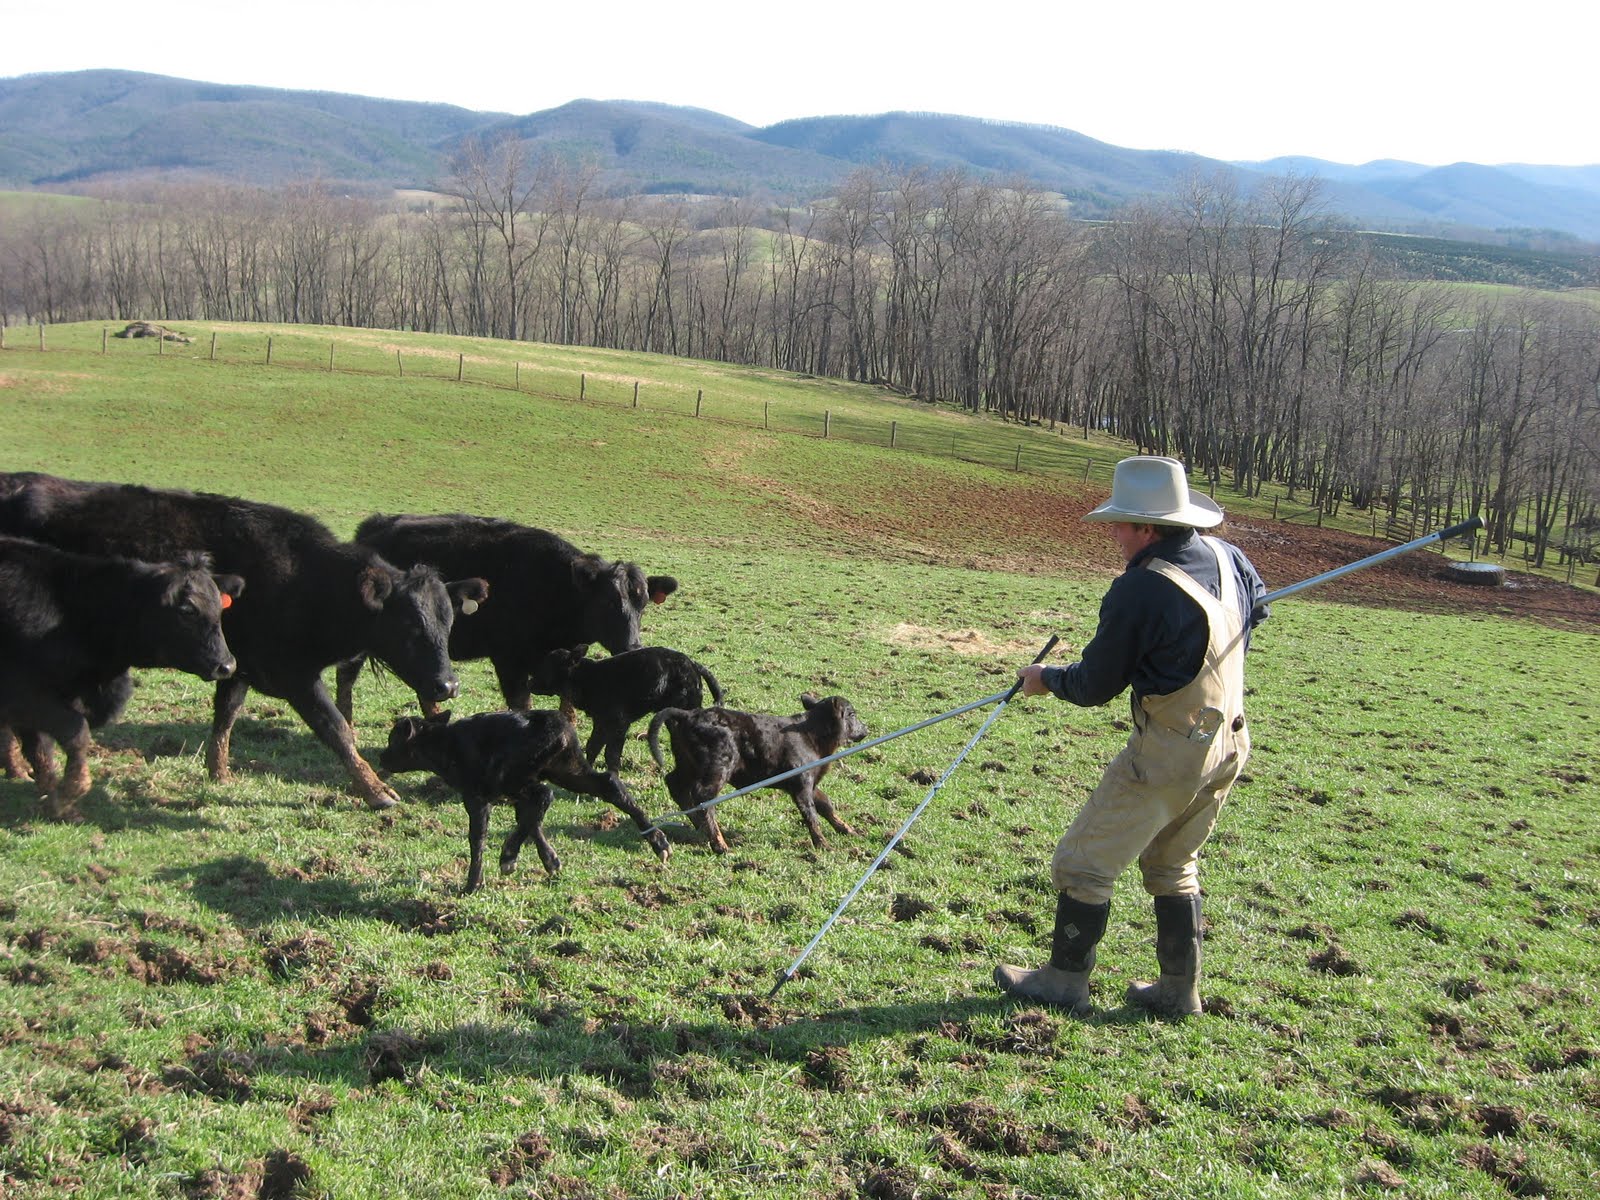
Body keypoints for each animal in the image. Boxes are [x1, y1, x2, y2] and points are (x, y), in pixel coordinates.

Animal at [0, 534, 242, 818]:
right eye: (187, 610)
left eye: (219, 608)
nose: (227, 665)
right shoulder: (24, 695)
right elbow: (73, 732)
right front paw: (67, 794)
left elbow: (41, 750)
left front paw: (53, 800)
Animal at [336, 513, 678, 720]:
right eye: (608, 601)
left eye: (643, 603)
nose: (633, 647)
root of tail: (373, 526)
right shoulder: (508, 660)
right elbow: (521, 705)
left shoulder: (571, 660)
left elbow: (567, 706)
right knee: (346, 679)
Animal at [377, 710, 672, 891]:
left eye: (393, 741)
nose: (382, 758)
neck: (445, 744)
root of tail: (554, 723)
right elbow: (529, 821)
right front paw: (550, 861)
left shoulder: (476, 794)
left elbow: (478, 835)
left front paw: (474, 883)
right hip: (565, 769)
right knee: (607, 785)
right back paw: (657, 840)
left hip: (515, 776)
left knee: (544, 795)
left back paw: (507, 855)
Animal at [528, 644, 724, 772]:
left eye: (546, 667)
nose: (529, 683)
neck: (587, 679)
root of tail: (693, 664)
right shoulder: (601, 722)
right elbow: (592, 747)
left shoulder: (619, 723)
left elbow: (612, 755)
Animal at [647, 694, 869, 853]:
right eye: (851, 714)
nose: (866, 729)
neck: (811, 735)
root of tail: (688, 715)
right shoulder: (801, 784)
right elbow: (811, 814)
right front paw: (823, 844)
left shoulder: (811, 783)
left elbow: (826, 805)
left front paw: (849, 830)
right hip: (717, 768)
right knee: (703, 798)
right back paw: (720, 845)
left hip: (687, 764)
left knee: (675, 785)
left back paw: (701, 828)